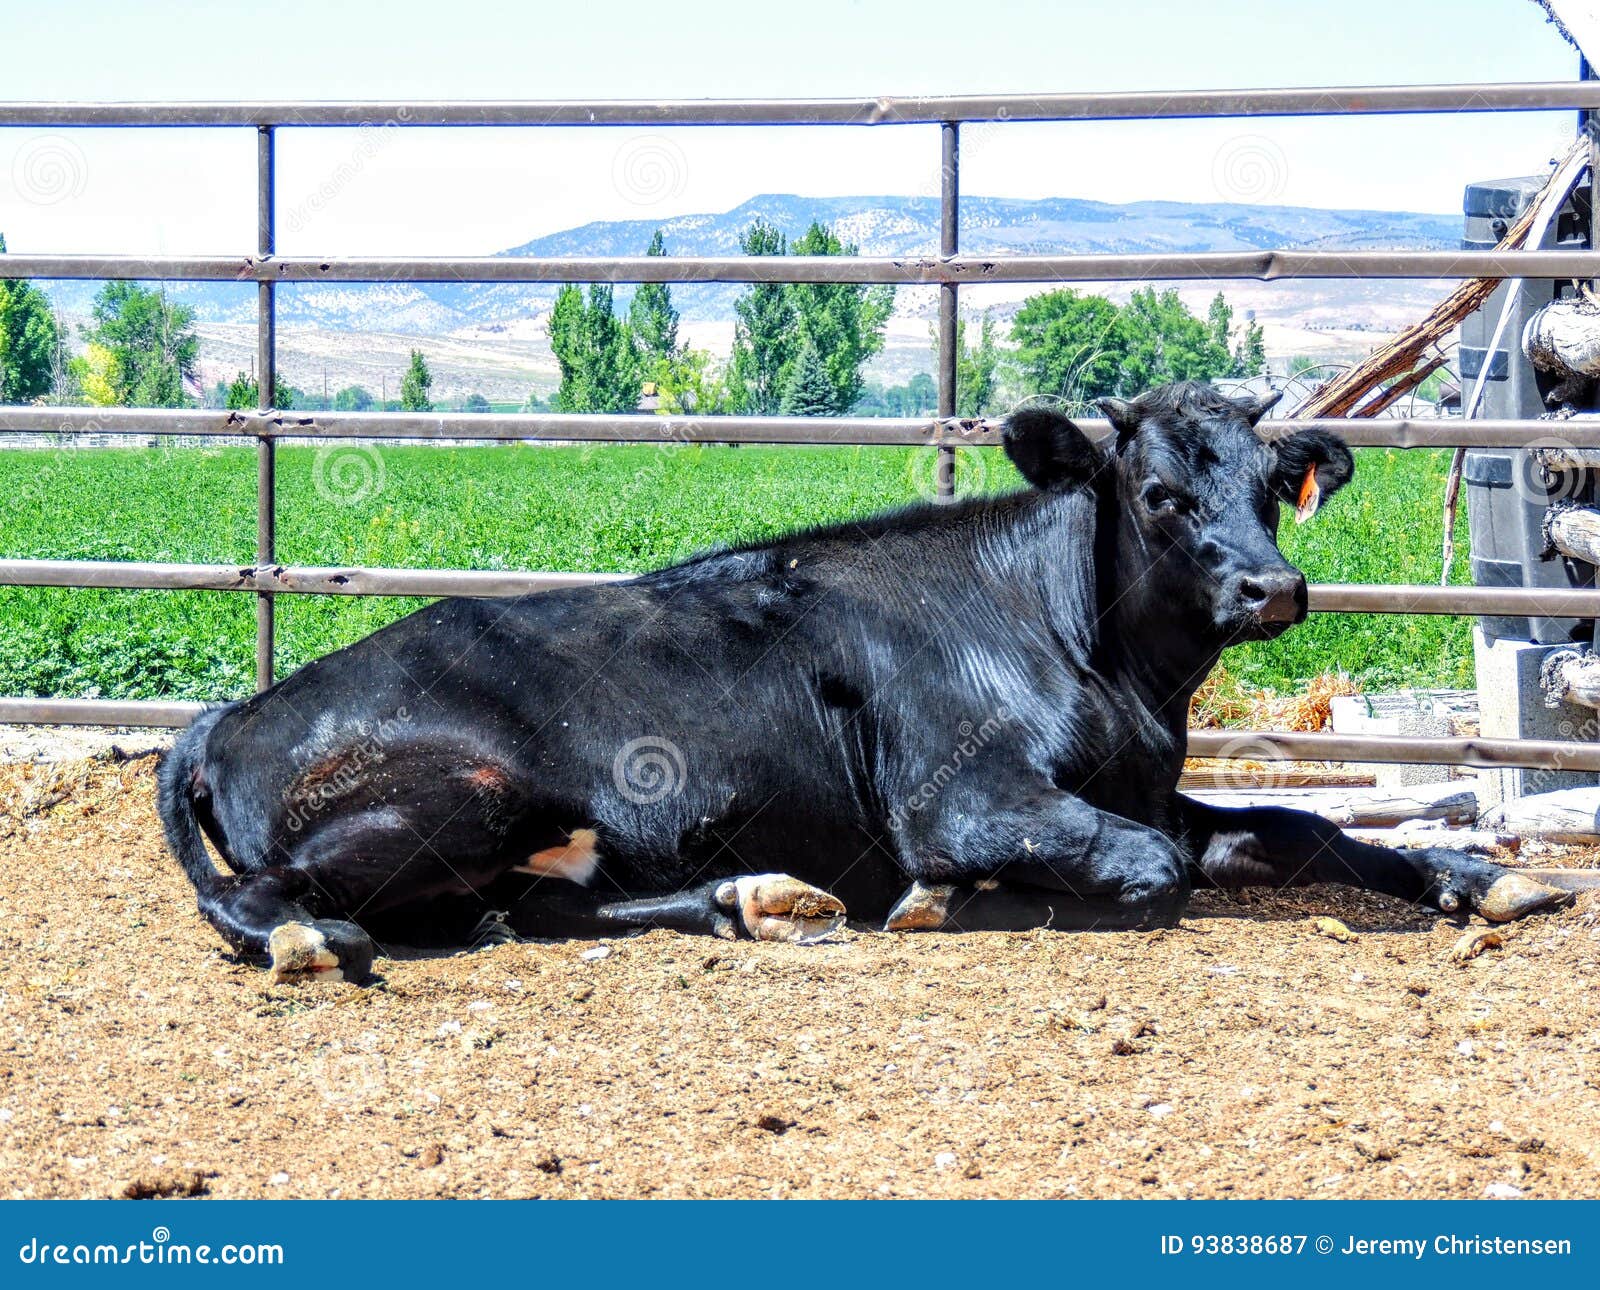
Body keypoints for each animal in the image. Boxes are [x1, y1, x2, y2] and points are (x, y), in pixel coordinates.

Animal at [158, 380, 1575, 984]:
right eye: (1160, 494)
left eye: (1272, 487)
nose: (1271, 589)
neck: (1103, 665)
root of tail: (228, 719)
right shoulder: (961, 800)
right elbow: (1143, 873)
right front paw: (943, 904)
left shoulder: (1148, 790)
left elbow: (1300, 826)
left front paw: (1475, 872)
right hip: (456, 794)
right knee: (267, 902)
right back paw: (302, 940)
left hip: (525, 846)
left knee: (539, 906)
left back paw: (755, 900)